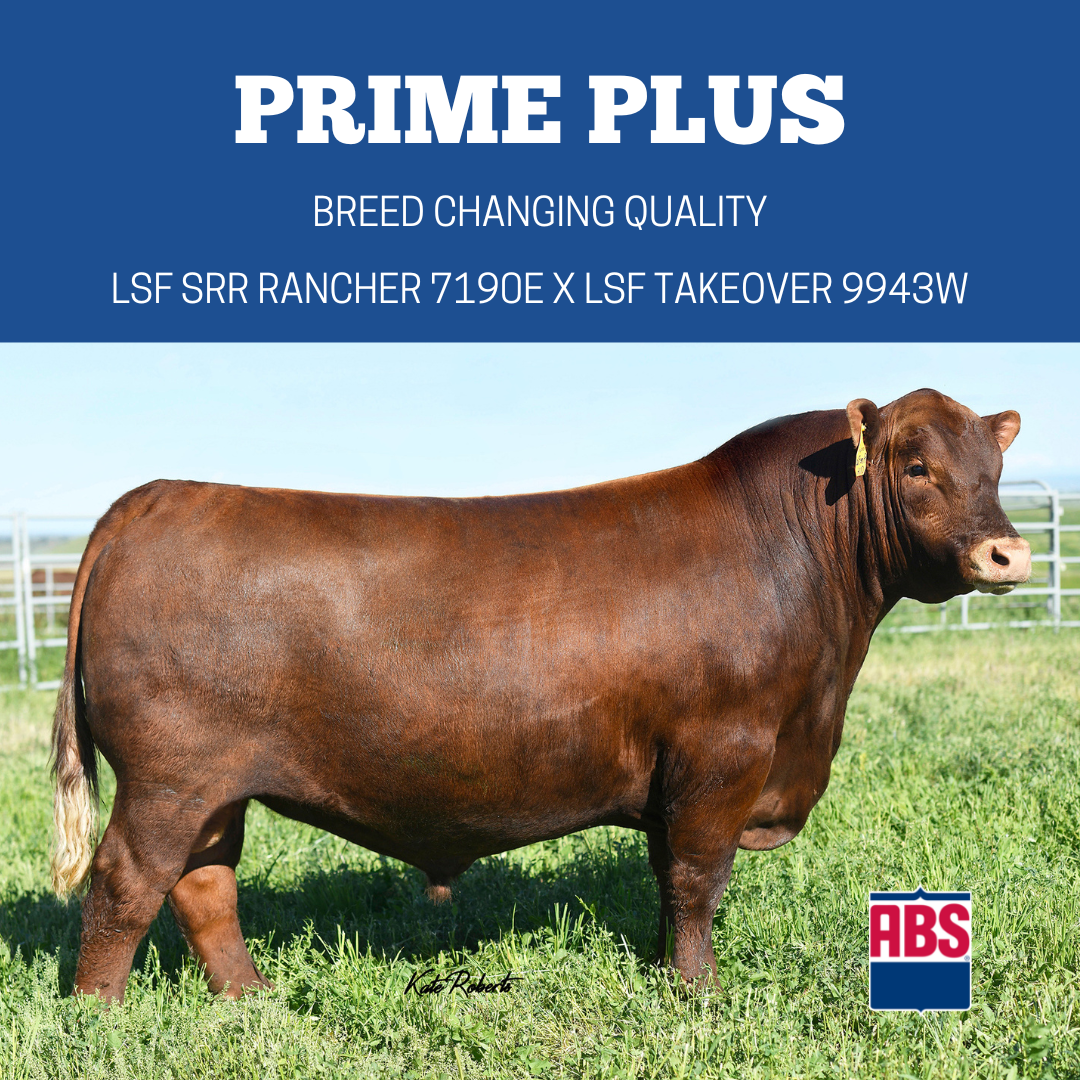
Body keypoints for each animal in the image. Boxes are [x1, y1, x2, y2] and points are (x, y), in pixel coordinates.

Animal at [50, 388, 1030, 1001]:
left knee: (203, 885)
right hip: (169, 775)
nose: (1007, 552)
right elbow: (697, 878)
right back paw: (102, 1017)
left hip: (213, 787)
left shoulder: (681, 771)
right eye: (915, 466)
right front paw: (699, 992)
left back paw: (252, 1000)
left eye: (993, 467)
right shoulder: (723, 753)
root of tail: (152, 498)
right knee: (125, 880)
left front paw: (667, 972)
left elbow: (666, 876)